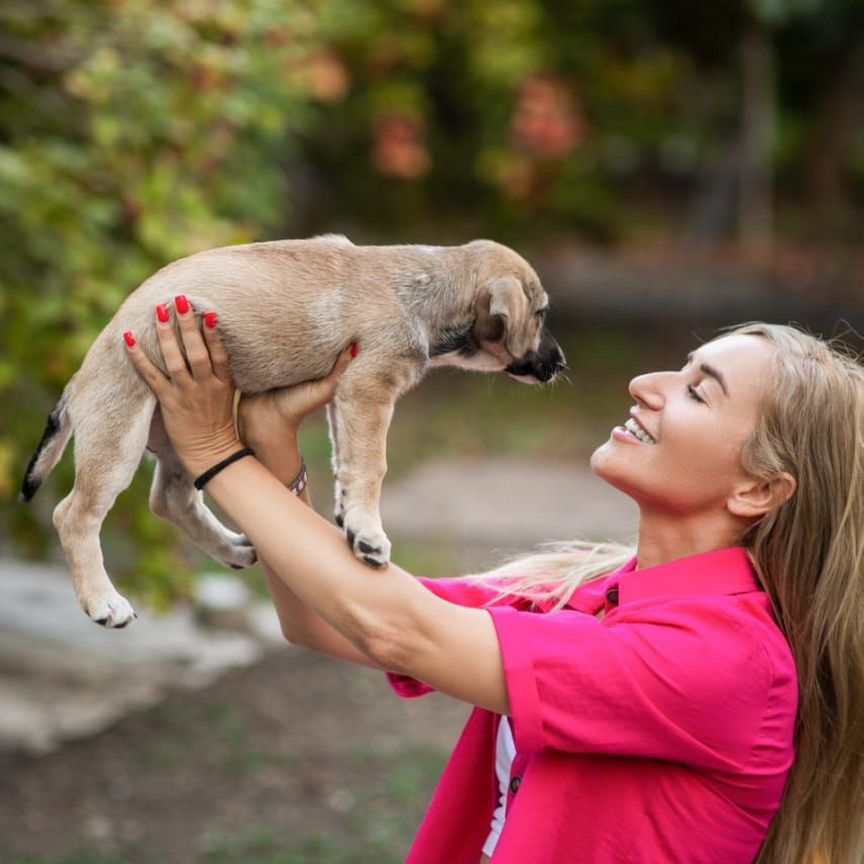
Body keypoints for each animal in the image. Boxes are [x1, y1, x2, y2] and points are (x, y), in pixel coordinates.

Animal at [18, 236, 568, 628]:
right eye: (541, 314)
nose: (562, 364)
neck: (427, 288)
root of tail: (78, 380)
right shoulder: (370, 387)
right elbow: (372, 463)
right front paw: (368, 532)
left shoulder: (348, 397)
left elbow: (348, 459)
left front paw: (350, 517)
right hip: (120, 438)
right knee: (75, 515)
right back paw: (103, 601)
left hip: (172, 434)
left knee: (172, 501)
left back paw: (231, 548)